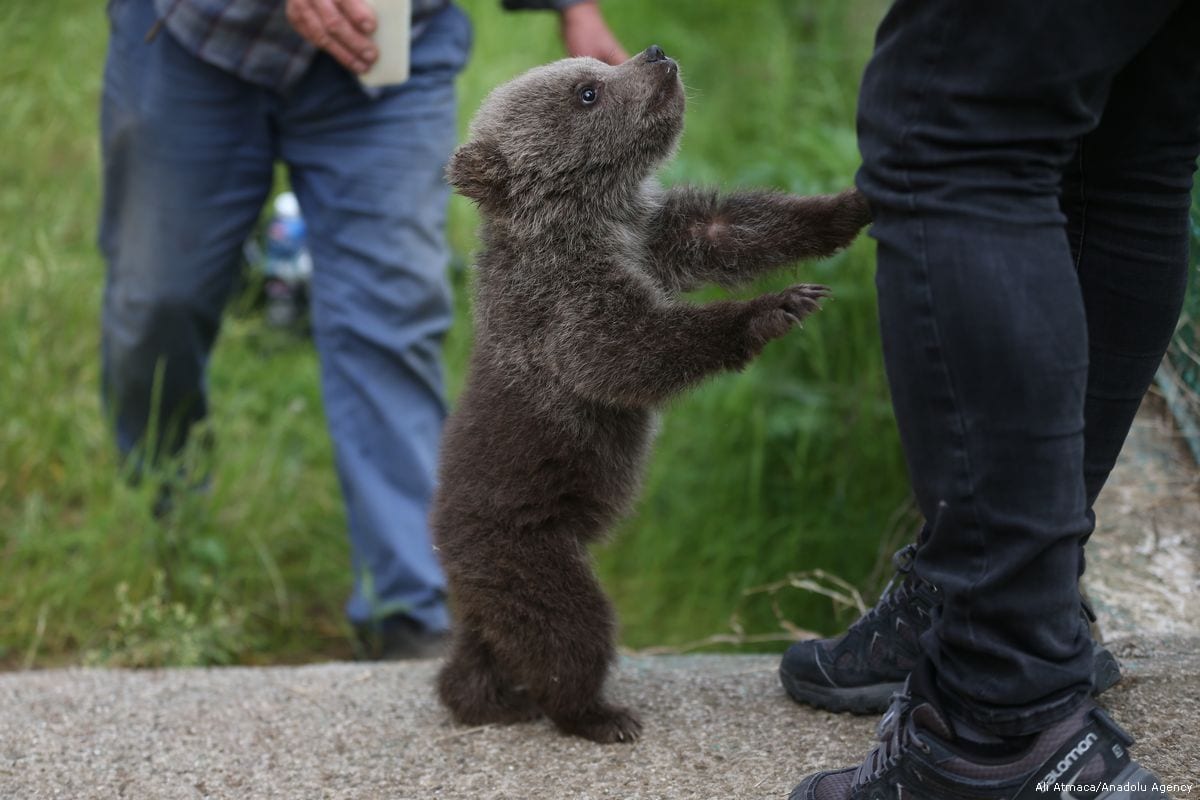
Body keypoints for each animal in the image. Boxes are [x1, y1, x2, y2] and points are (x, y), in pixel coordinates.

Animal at [432, 44, 872, 744]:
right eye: (586, 91)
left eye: (595, 65)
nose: (655, 53)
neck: (592, 222)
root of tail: (444, 544)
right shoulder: (564, 308)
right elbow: (628, 353)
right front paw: (773, 308)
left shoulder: (658, 236)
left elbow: (731, 228)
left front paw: (851, 203)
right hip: (524, 550)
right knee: (570, 628)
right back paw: (594, 713)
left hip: (497, 583)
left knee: (489, 641)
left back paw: (482, 698)